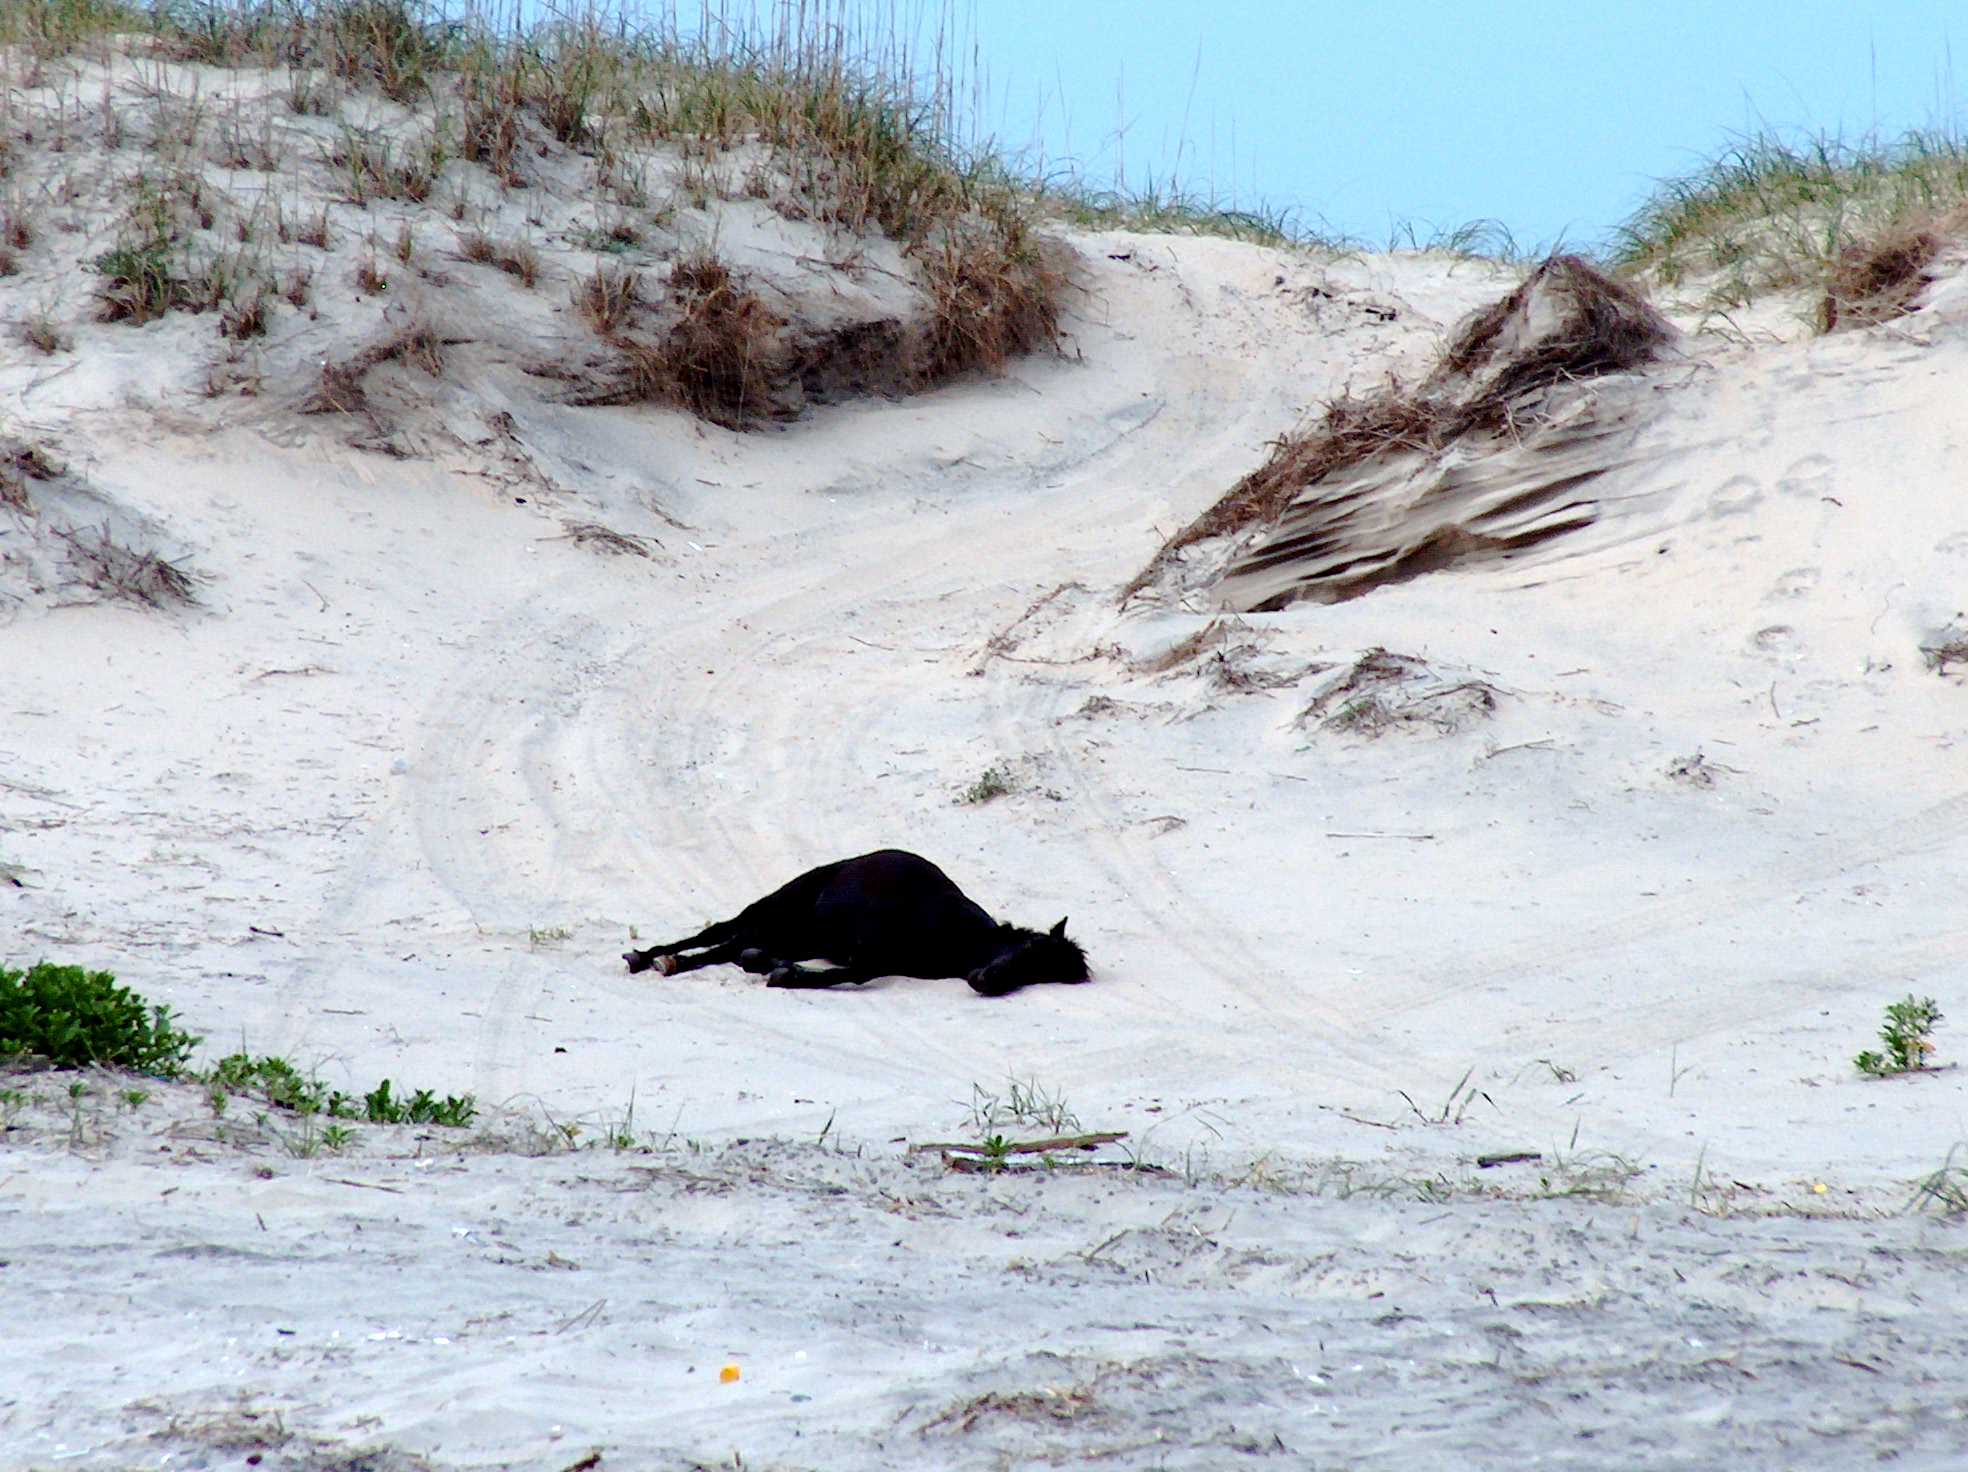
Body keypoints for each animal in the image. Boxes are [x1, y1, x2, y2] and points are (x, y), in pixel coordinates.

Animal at [622, 848, 1089, 996]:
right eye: (1030, 950)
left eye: (1041, 976)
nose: (987, 982)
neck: (956, 938)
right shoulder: (869, 942)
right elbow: (860, 970)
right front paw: (784, 974)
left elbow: (858, 972)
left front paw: (783, 971)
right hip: (779, 910)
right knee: (719, 935)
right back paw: (652, 957)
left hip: (799, 932)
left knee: (733, 945)